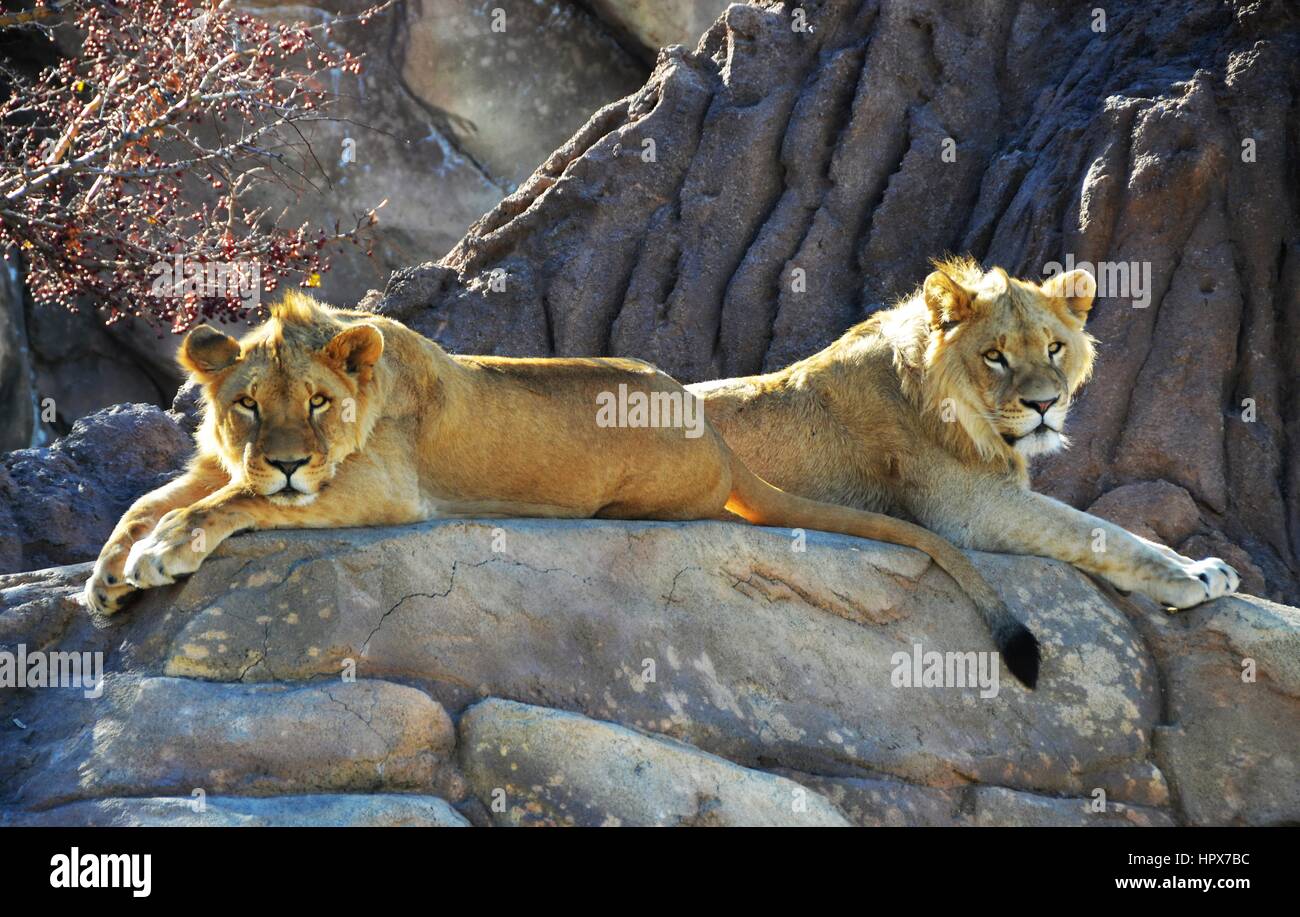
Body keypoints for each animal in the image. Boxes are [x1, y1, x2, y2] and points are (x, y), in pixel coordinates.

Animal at [84, 291, 1041, 686]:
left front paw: (165, 550)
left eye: (317, 402)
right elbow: (145, 499)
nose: (285, 460)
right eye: (248, 403)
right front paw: (107, 573)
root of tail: (712, 430)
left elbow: (228, 504)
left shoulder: (385, 488)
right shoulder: (216, 459)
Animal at [688, 256, 1240, 613]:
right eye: (994, 356)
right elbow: (1095, 532)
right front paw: (1187, 579)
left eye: (1055, 347)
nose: (1044, 405)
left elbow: (1107, 527)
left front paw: (1204, 566)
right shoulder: (974, 509)